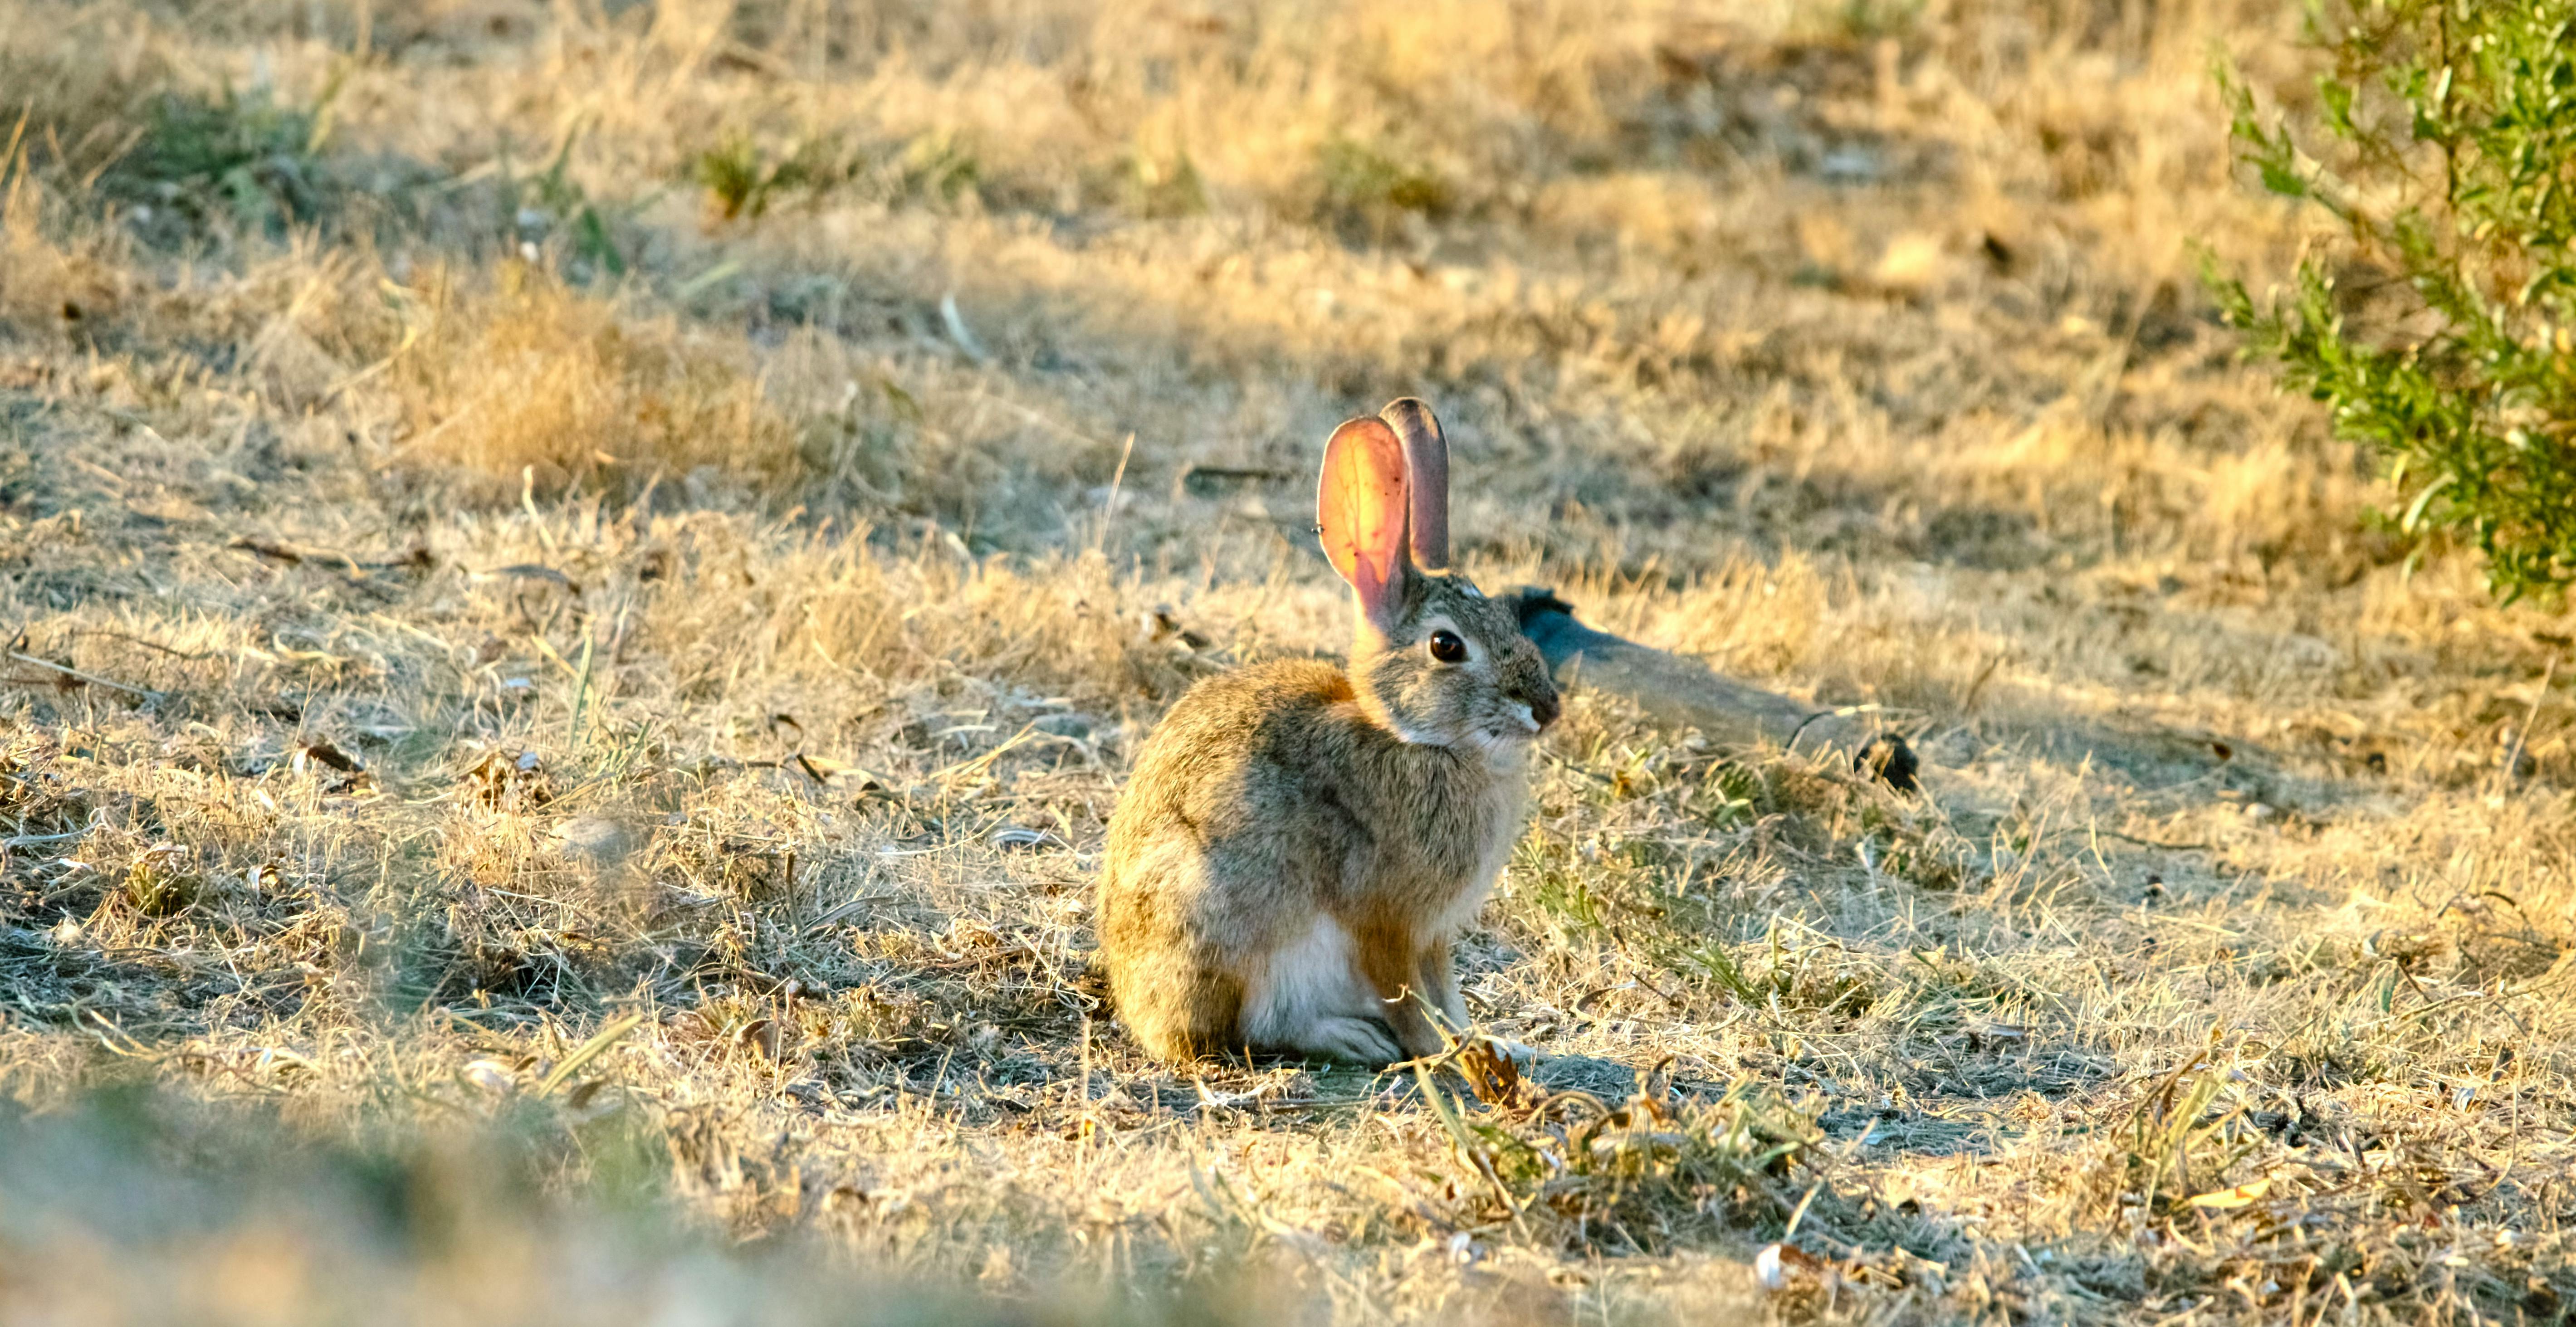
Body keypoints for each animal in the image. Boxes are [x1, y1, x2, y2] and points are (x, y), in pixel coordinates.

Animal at [1095, 397, 1561, 1066]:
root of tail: (1135, 1008)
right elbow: (1405, 995)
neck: (1414, 738)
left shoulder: (1434, 936)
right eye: (1446, 646)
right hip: (1229, 930)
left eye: (1508, 617)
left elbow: (1446, 994)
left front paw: (1484, 1043)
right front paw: (1440, 1056)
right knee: (1249, 1028)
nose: (1546, 708)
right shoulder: (1384, 919)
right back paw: (1351, 1037)